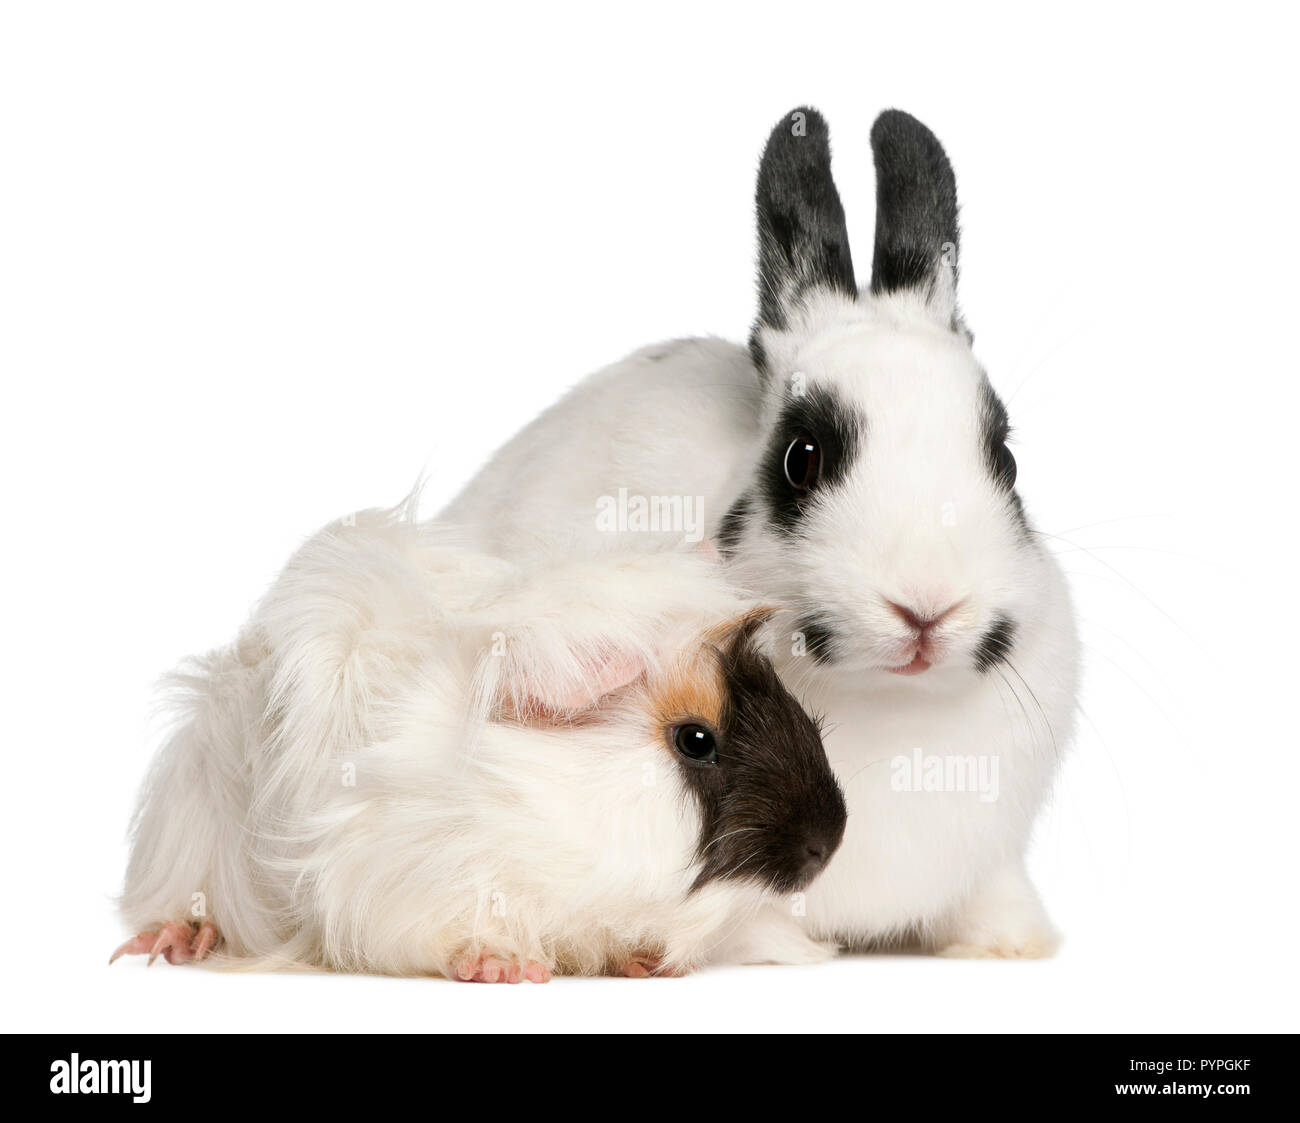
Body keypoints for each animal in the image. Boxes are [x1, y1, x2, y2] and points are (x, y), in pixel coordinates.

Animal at [440, 107, 1081, 960]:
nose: (926, 607)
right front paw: (792, 950)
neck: (891, 702)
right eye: (800, 458)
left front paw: (1012, 941)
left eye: (1005, 459)